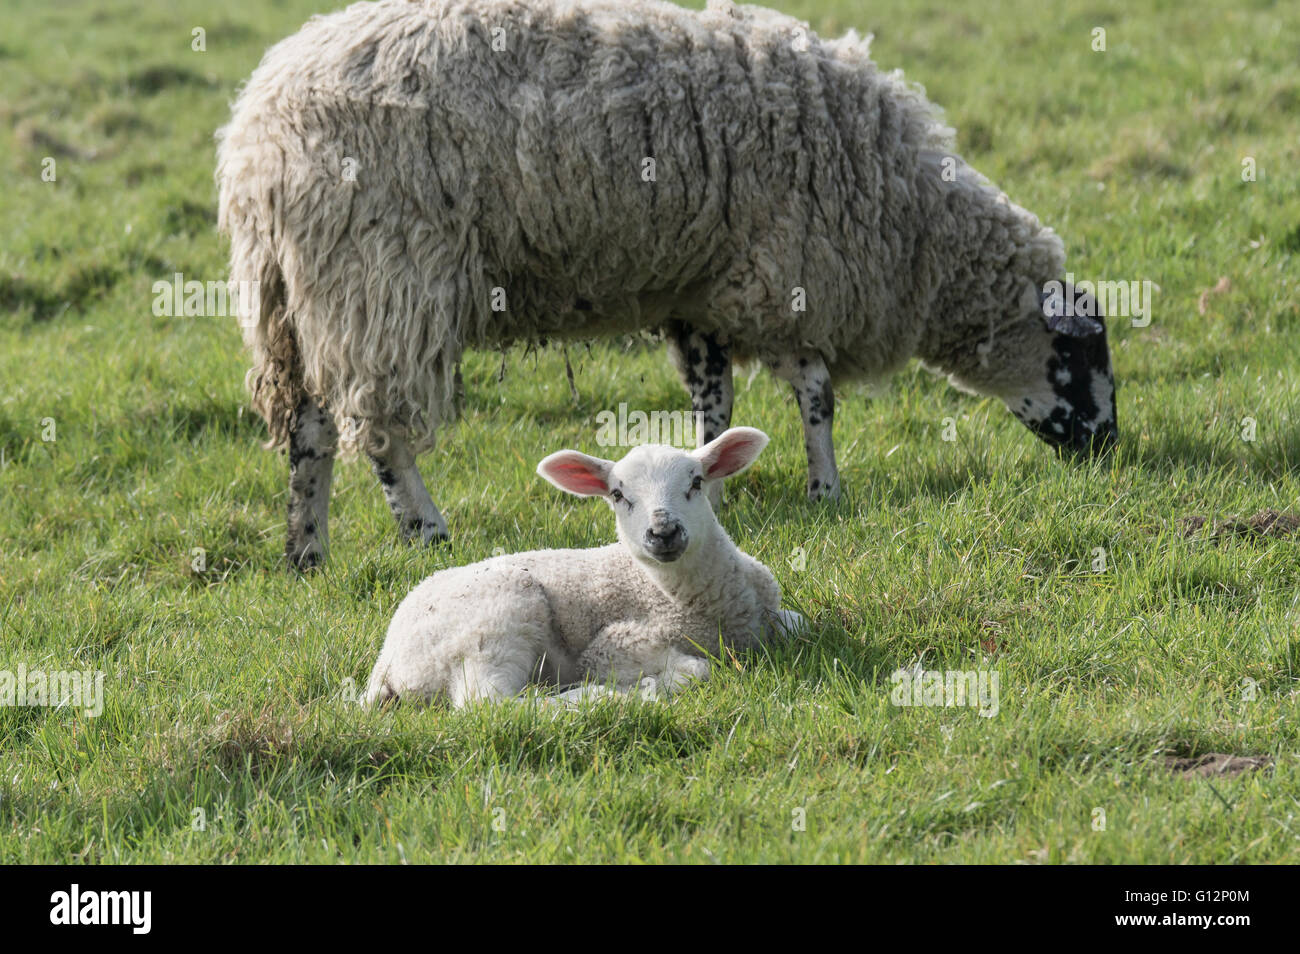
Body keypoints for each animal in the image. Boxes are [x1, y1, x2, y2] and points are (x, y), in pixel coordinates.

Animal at [216, 0, 1118, 569]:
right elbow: (816, 395)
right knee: (378, 431)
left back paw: (306, 551)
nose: (1108, 451)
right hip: (381, 277)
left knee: (309, 429)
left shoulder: (706, 288)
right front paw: (827, 490)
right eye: (1081, 354)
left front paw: (715, 478)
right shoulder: (784, 276)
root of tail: (257, 135)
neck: (918, 225)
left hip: (299, 300)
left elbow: (715, 400)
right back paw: (426, 531)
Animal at [363, 427, 805, 707]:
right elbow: (698, 669)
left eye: (696, 482)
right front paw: (650, 683)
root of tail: (387, 658)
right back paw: (597, 697)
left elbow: (797, 623)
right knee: (487, 704)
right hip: (495, 622)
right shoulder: (615, 643)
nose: (663, 532)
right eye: (617, 495)